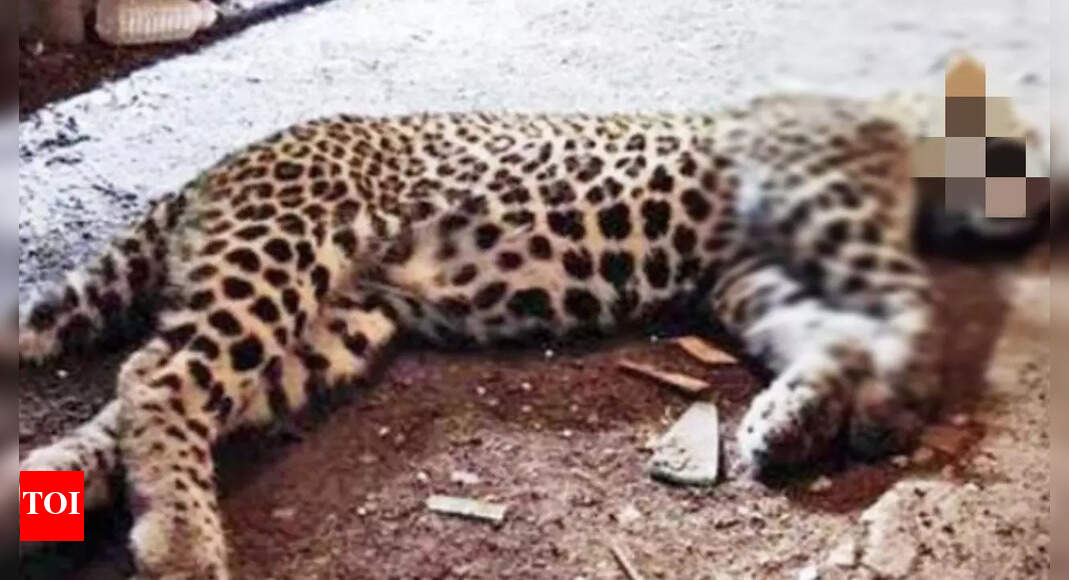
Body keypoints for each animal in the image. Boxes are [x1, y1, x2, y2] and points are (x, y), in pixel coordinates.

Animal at [18, 60, 1047, 578]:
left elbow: (823, 334)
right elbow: (904, 301)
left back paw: (46, 489)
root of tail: (213, 170)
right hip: (290, 251)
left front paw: (795, 419)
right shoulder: (822, 201)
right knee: (160, 375)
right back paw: (182, 545)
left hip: (340, 323)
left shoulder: (746, 275)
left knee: (149, 393)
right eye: (1019, 148)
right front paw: (887, 403)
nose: (1036, 207)